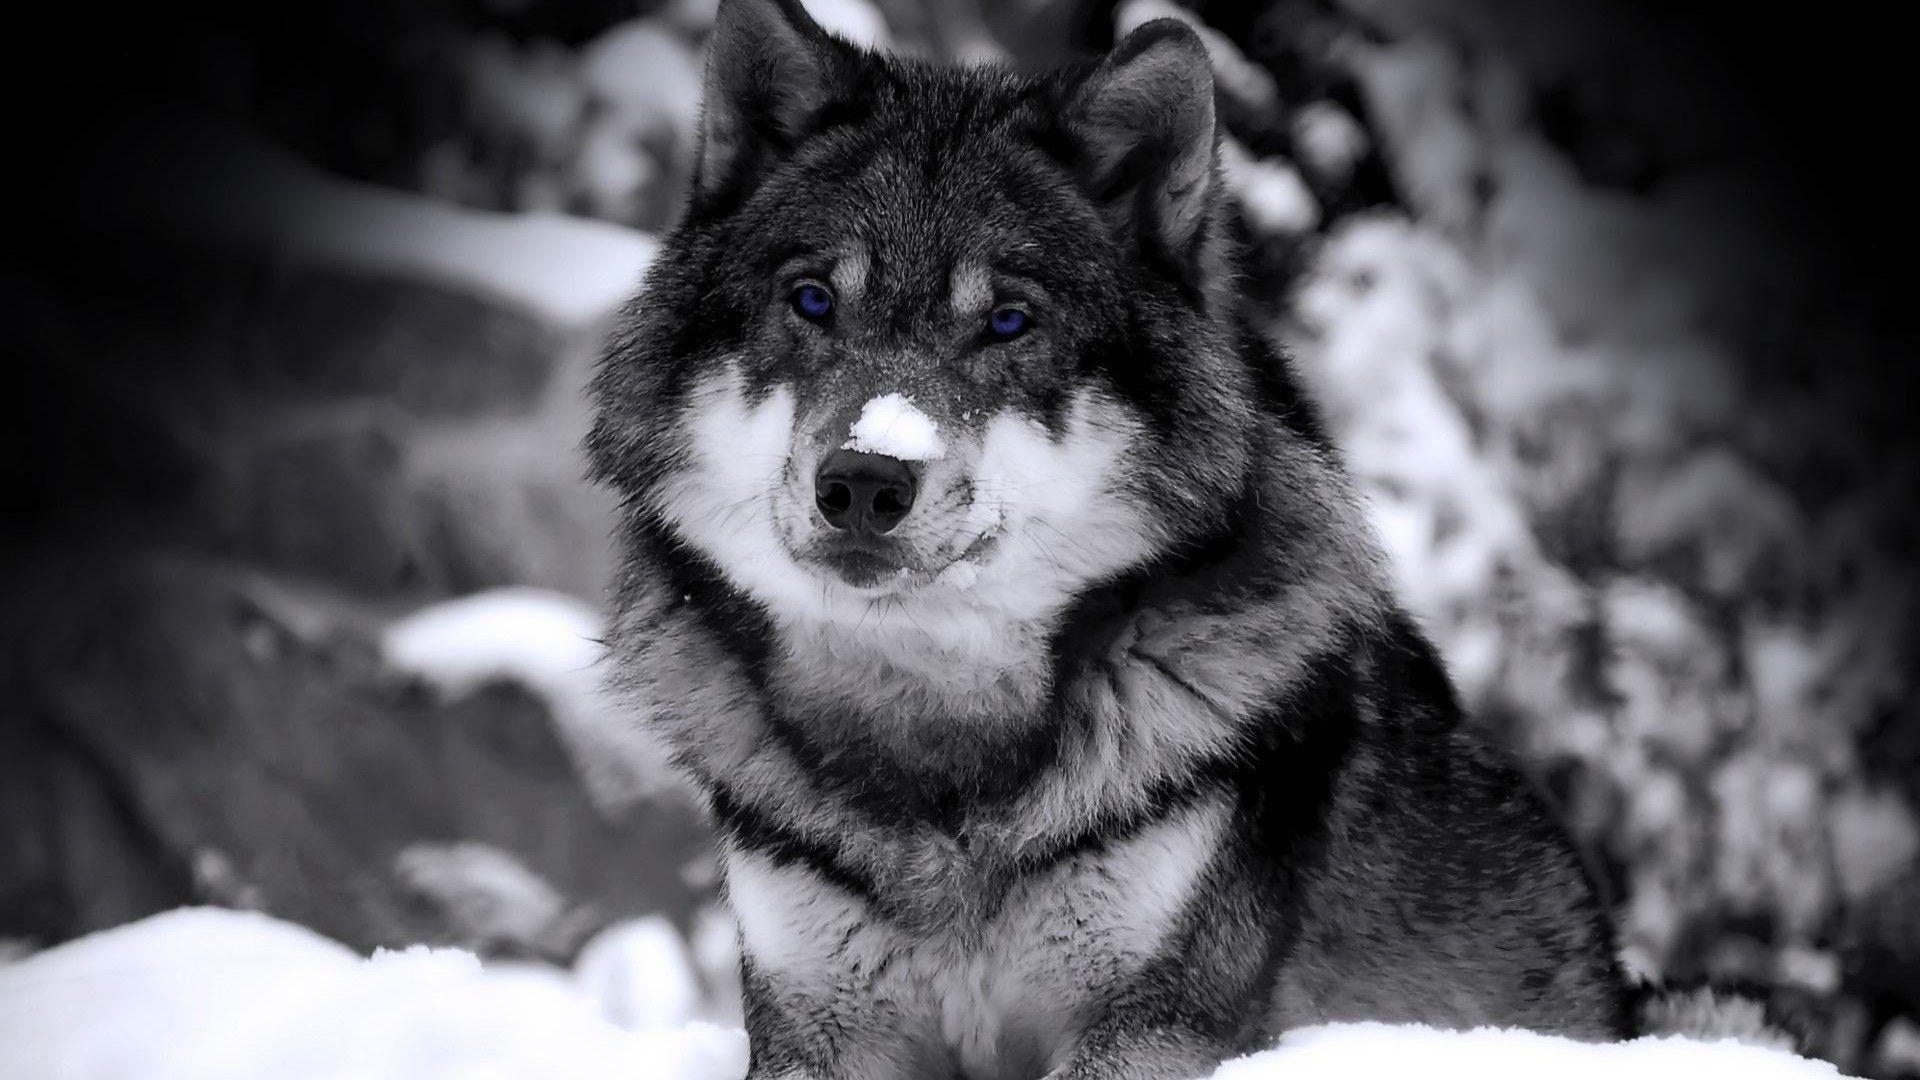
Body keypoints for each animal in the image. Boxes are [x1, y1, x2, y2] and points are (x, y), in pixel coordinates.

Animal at [586, 1, 1633, 1077]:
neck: (935, 754)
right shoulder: (812, 1024)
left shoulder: (1152, 1021)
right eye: (812, 302)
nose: (866, 479)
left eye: (1008, 321)